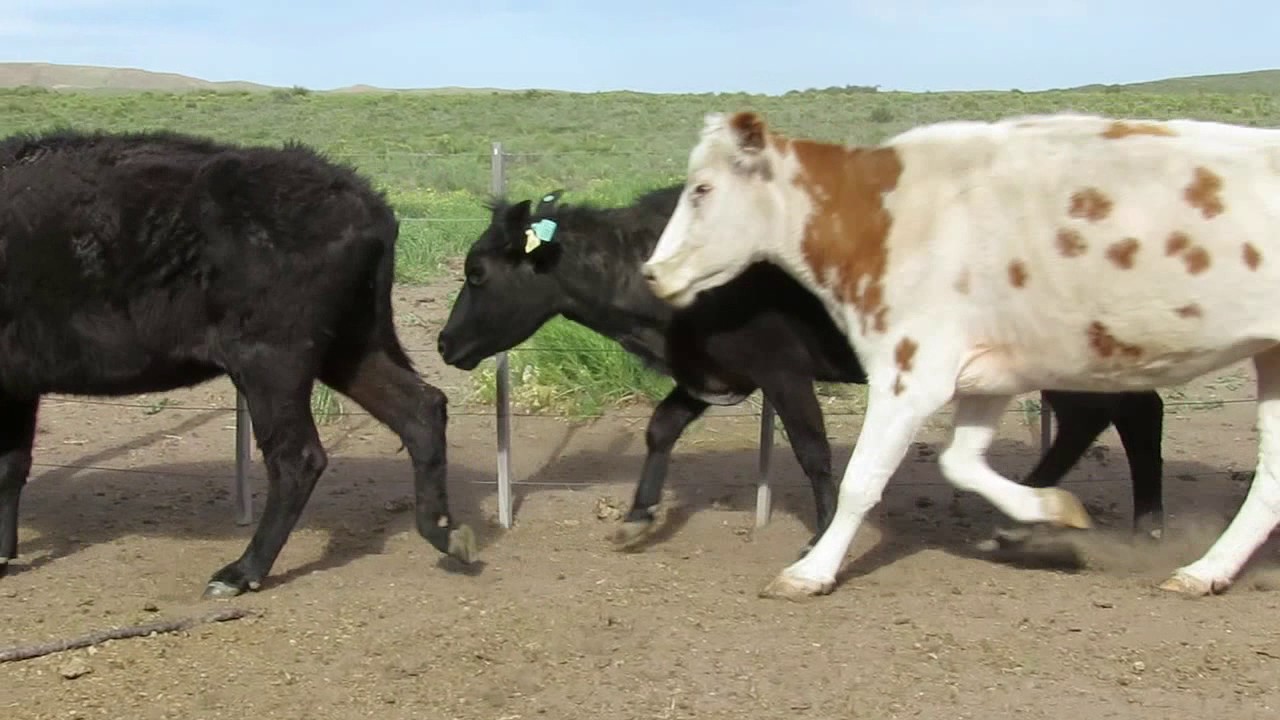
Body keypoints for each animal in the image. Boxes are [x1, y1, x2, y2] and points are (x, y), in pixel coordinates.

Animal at [0, 128, 475, 599]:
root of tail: (368, 202)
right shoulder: (19, 387)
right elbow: (13, 466)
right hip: (348, 349)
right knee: (420, 409)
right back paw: (446, 533)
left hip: (270, 363)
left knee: (298, 458)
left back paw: (240, 572)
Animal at [436, 185, 1166, 558]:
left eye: (476, 271)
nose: (443, 343)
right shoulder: (714, 372)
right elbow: (660, 427)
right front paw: (638, 515)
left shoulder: (782, 371)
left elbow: (814, 451)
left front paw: (819, 533)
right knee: (1106, 415)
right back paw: (1044, 514)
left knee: (1128, 412)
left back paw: (1130, 521)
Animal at [642, 110, 1280, 600]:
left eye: (702, 189)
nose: (653, 272)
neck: (883, 219)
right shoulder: (987, 374)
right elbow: (960, 463)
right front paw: (1052, 512)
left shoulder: (909, 370)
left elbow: (862, 479)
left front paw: (810, 572)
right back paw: (1202, 571)